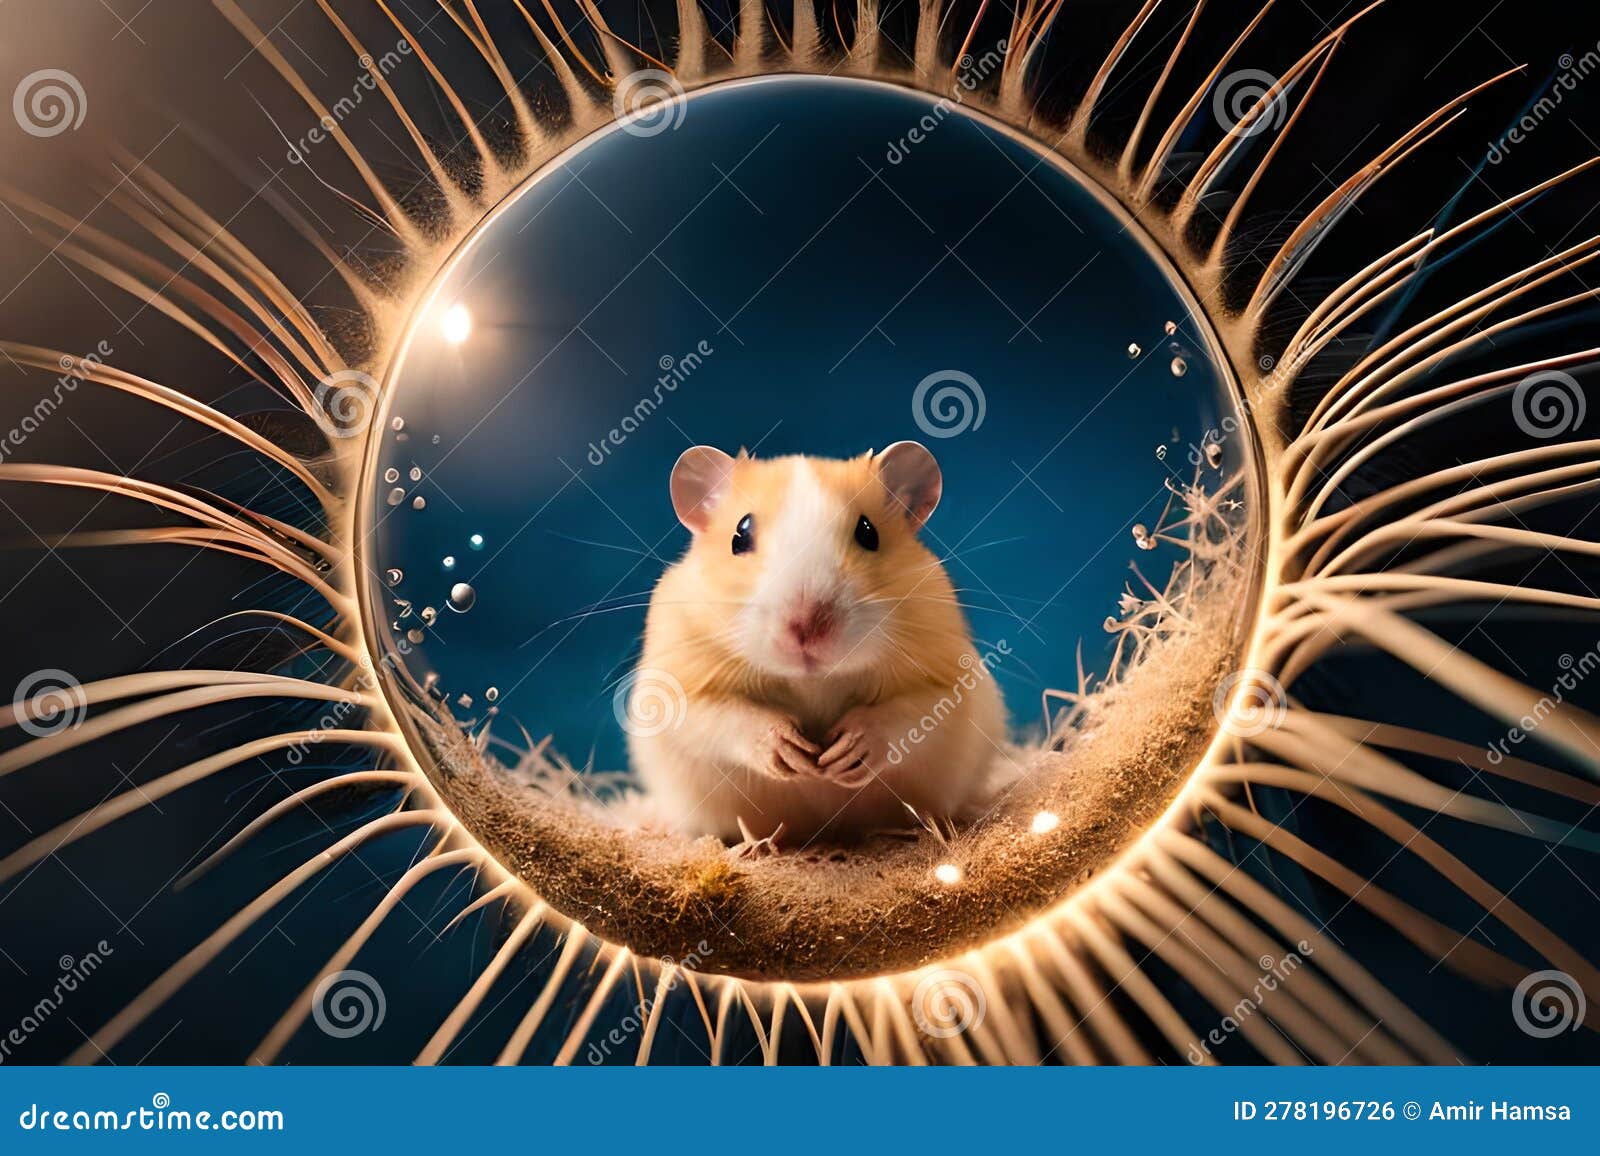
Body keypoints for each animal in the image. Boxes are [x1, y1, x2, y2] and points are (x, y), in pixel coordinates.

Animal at [627, 440, 1008, 845]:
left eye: (868, 533)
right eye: (739, 536)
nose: (807, 626)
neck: (811, 680)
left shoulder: (947, 685)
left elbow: (909, 712)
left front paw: (843, 752)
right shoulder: (677, 688)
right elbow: (725, 715)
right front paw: (793, 753)